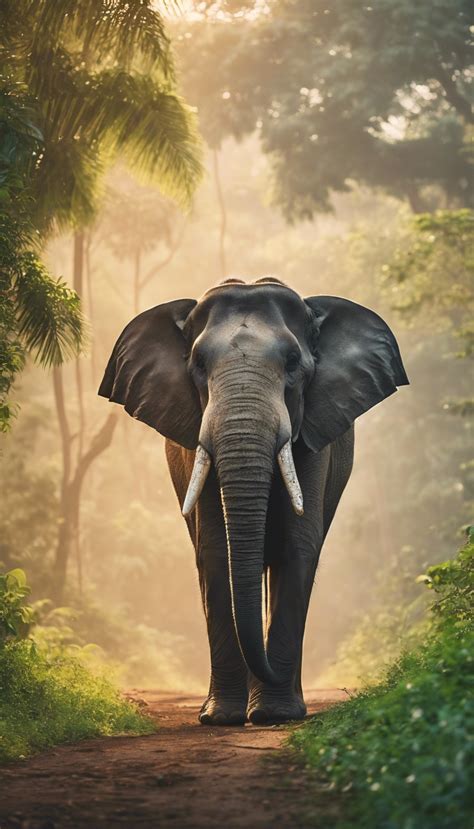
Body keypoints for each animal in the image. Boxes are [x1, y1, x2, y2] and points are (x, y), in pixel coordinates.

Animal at [99, 277, 408, 726]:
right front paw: (221, 718)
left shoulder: (313, 440)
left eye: (294, 363)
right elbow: (215, 551)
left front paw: (274, 714)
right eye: (198, 365)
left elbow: (297, 549)